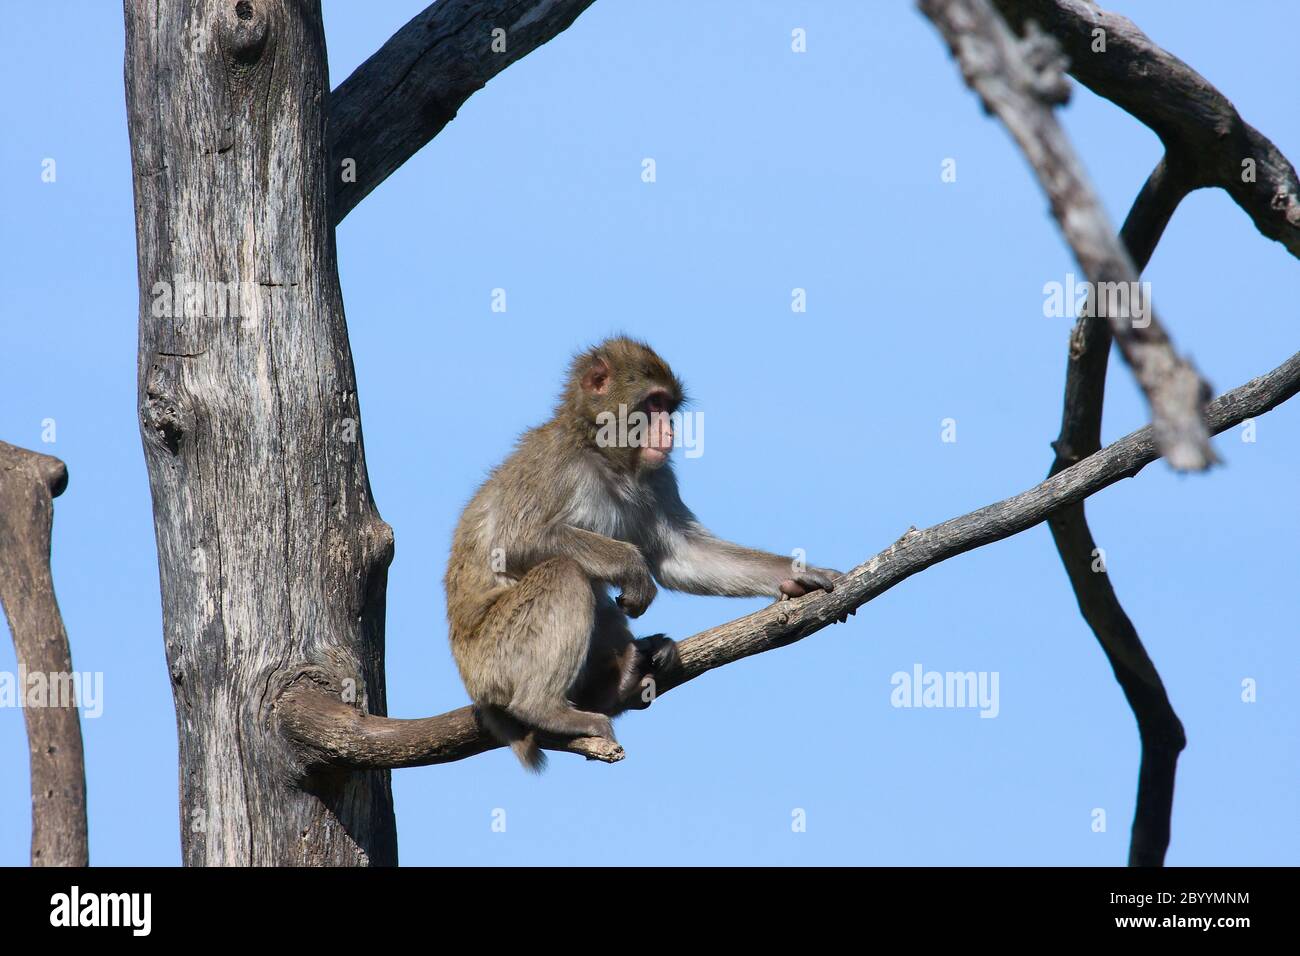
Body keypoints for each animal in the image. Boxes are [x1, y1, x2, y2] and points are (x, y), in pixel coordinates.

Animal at [444, 336, 841, 770]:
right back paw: (543, 707)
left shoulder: (658, 476)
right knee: (564, 573)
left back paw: (617, 683)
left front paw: (799, 574)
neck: (604, 458)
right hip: (495, 656)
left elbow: (681, 556)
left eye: (669, 407)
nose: (669, 431)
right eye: (653, 404)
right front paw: (632, 566)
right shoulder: (554, 464)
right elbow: (517, 541)